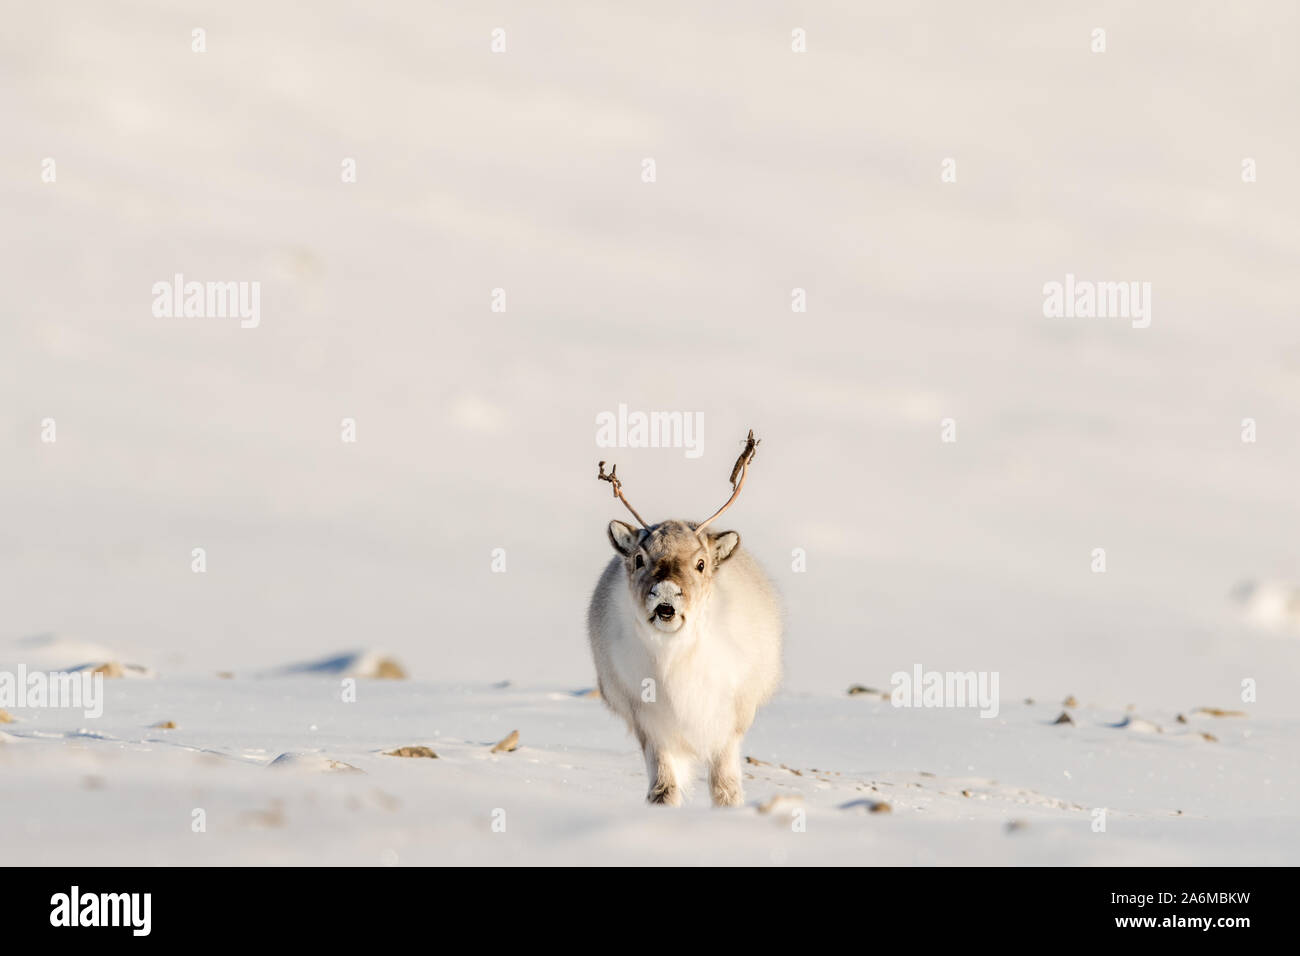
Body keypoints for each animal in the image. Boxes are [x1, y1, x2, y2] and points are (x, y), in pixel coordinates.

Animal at [587, 430, 782, 807]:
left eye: (701, 564)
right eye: (638, 558)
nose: (665, 595)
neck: (673, 658)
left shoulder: (728, 723)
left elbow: (725, 786)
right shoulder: (650, 724)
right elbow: (664, 789)